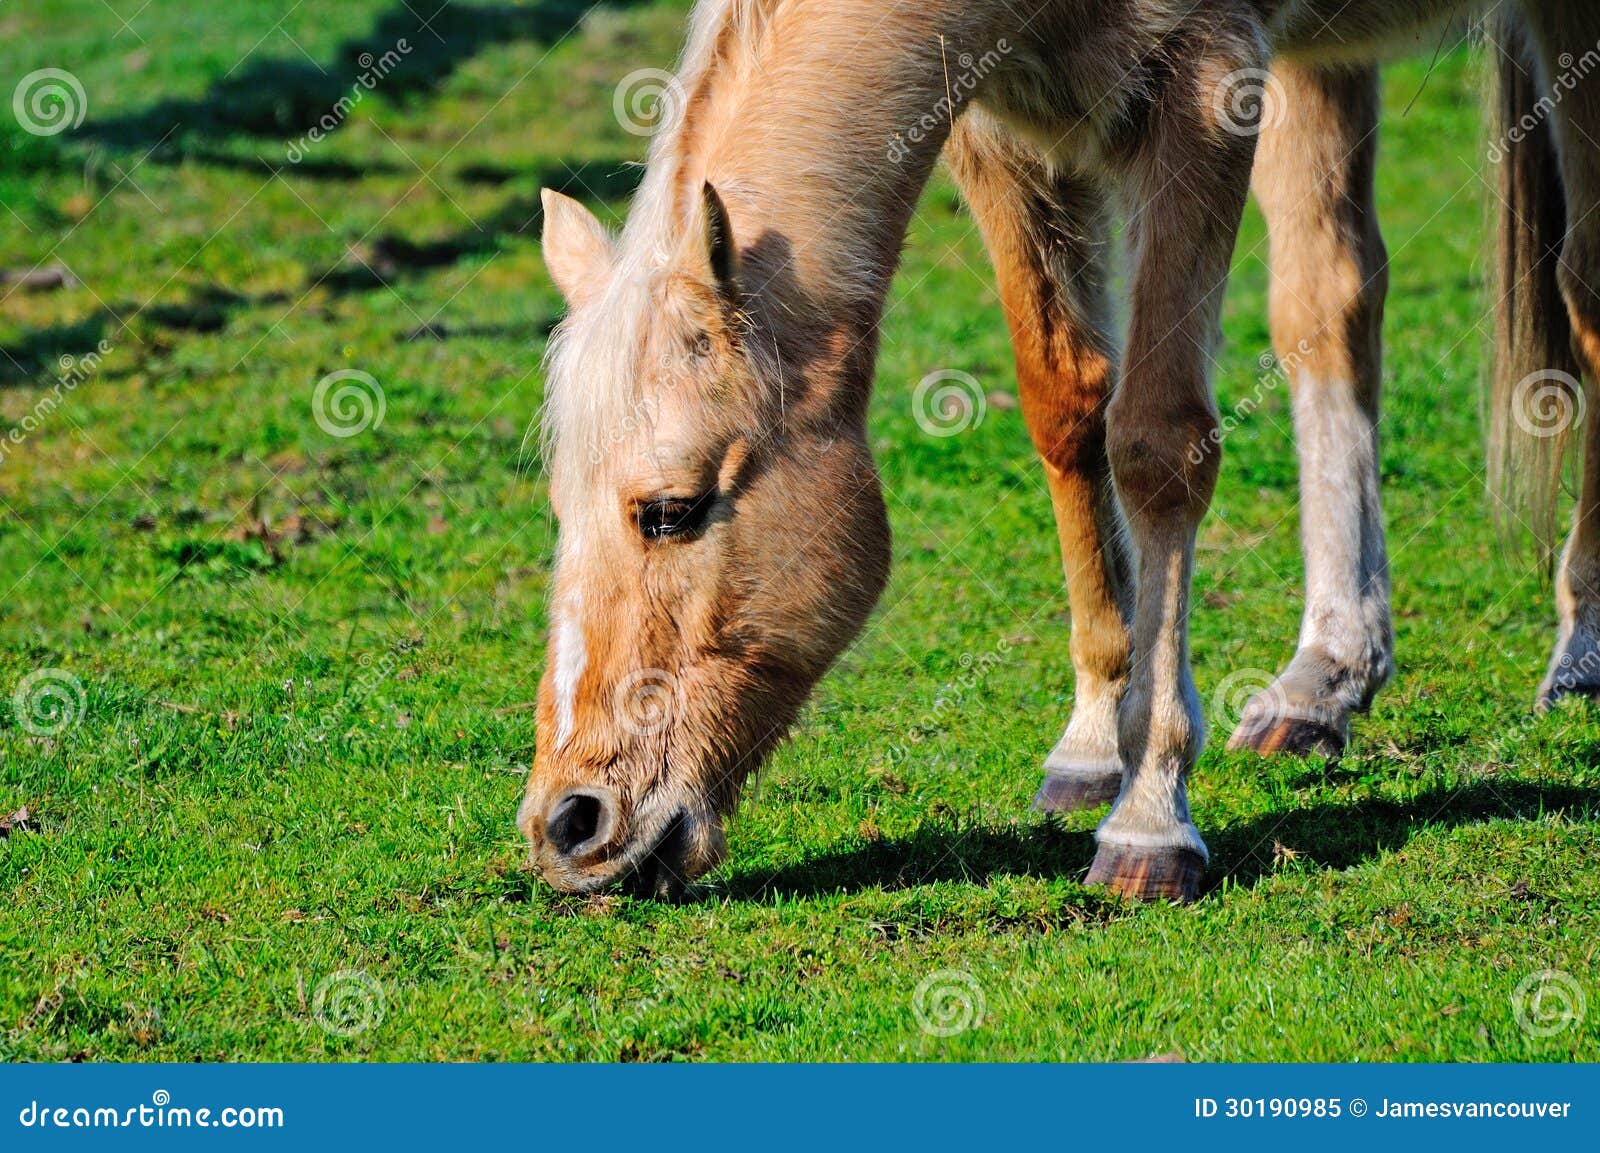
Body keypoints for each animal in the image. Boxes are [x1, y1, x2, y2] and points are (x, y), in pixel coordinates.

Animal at [518, 0, 1600, 902]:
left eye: (671, 510)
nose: (568, 825)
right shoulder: (999, 128)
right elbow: (1067, 405)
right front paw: (1092, 741)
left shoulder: (1205, 79)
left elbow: (1158, 443)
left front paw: (1151, 819)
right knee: (1330, 300)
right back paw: (1323, 677)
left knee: (1582, 293)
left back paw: (1579, 645)